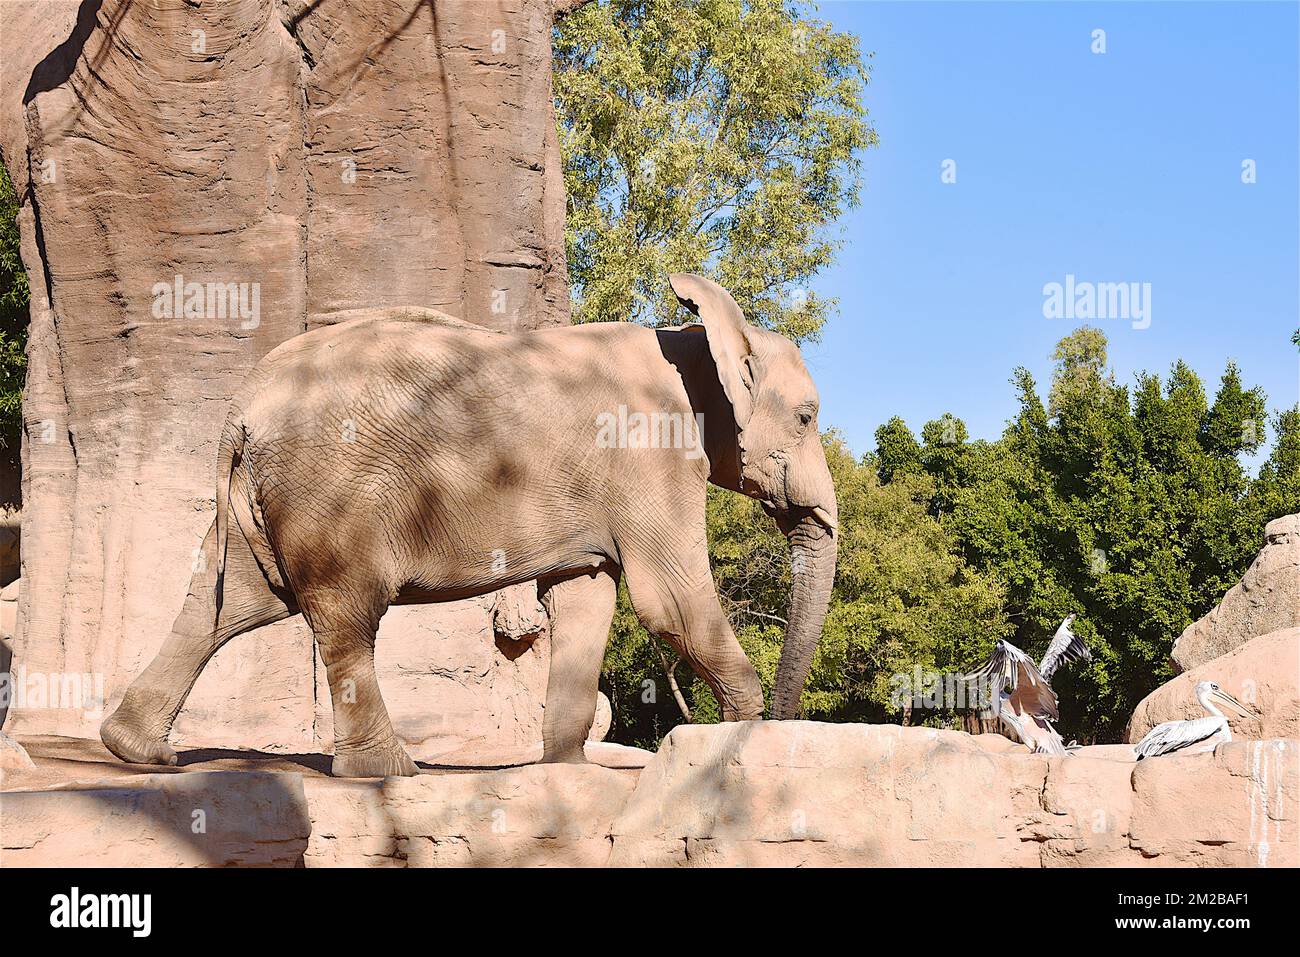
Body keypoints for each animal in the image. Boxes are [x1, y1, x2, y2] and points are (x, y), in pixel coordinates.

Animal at [100, 274, 838, 777]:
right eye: (806, 418)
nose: (784, 726)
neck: (696, 337)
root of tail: (240, 408)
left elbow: (588, 593)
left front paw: (567, 768)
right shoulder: (648, 454)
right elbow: (671, 602)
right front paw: (733, 748)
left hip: (262, 500)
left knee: (228, 605)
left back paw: (138, 750)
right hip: (332, 496)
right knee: (344, 616)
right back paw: (389, 772)